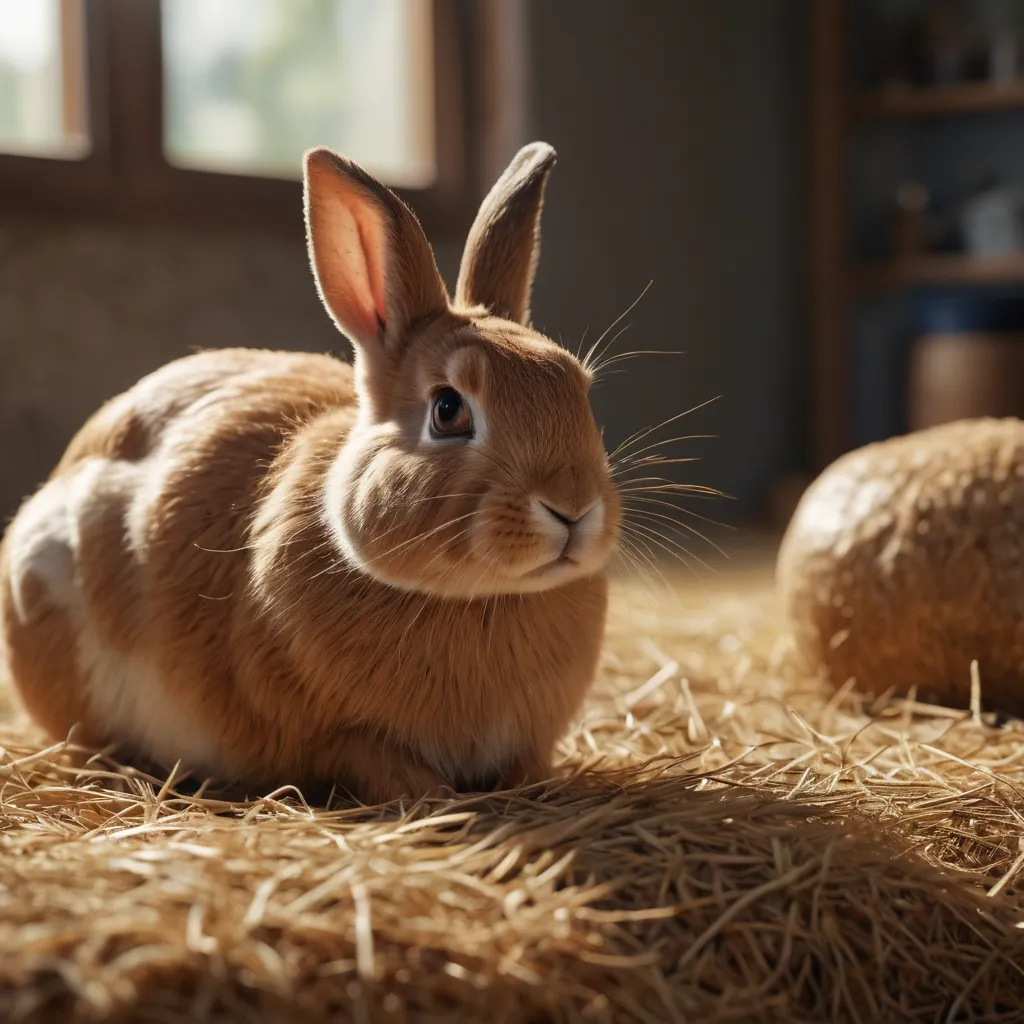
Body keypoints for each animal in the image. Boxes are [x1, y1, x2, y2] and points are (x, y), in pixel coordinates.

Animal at [0, 142, 623, 802]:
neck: (479, 598)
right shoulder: (333, 738)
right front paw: (435, 796)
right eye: (448, 411)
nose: (573, 505)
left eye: (578, 390)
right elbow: (378, 762)